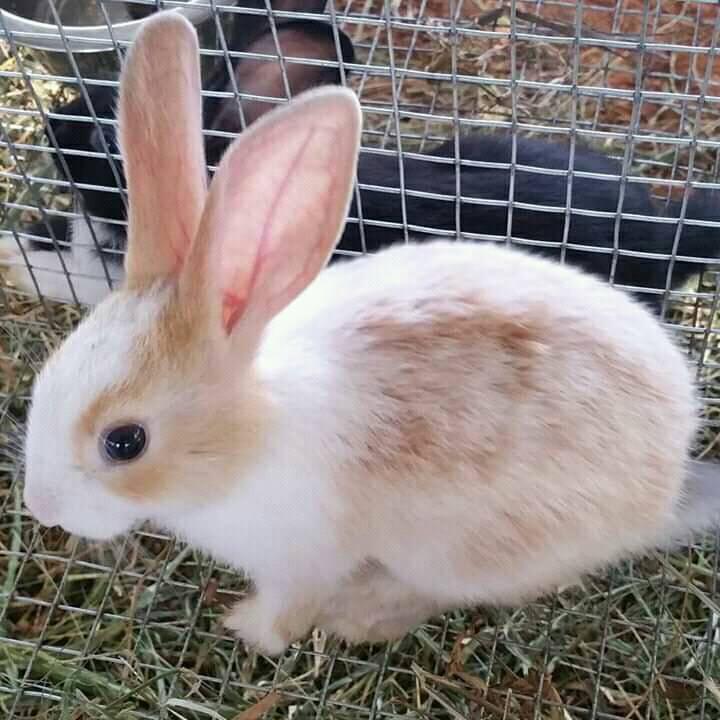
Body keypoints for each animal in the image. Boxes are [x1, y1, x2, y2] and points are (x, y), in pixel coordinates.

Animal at [22, 12, 720, 656]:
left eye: (125, 442)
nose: (39, 508)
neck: (250, 435)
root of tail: (669, 476)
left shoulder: (300, 560)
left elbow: (288, 608)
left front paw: (248, 631)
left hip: (457, 552)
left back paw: (359, 617)